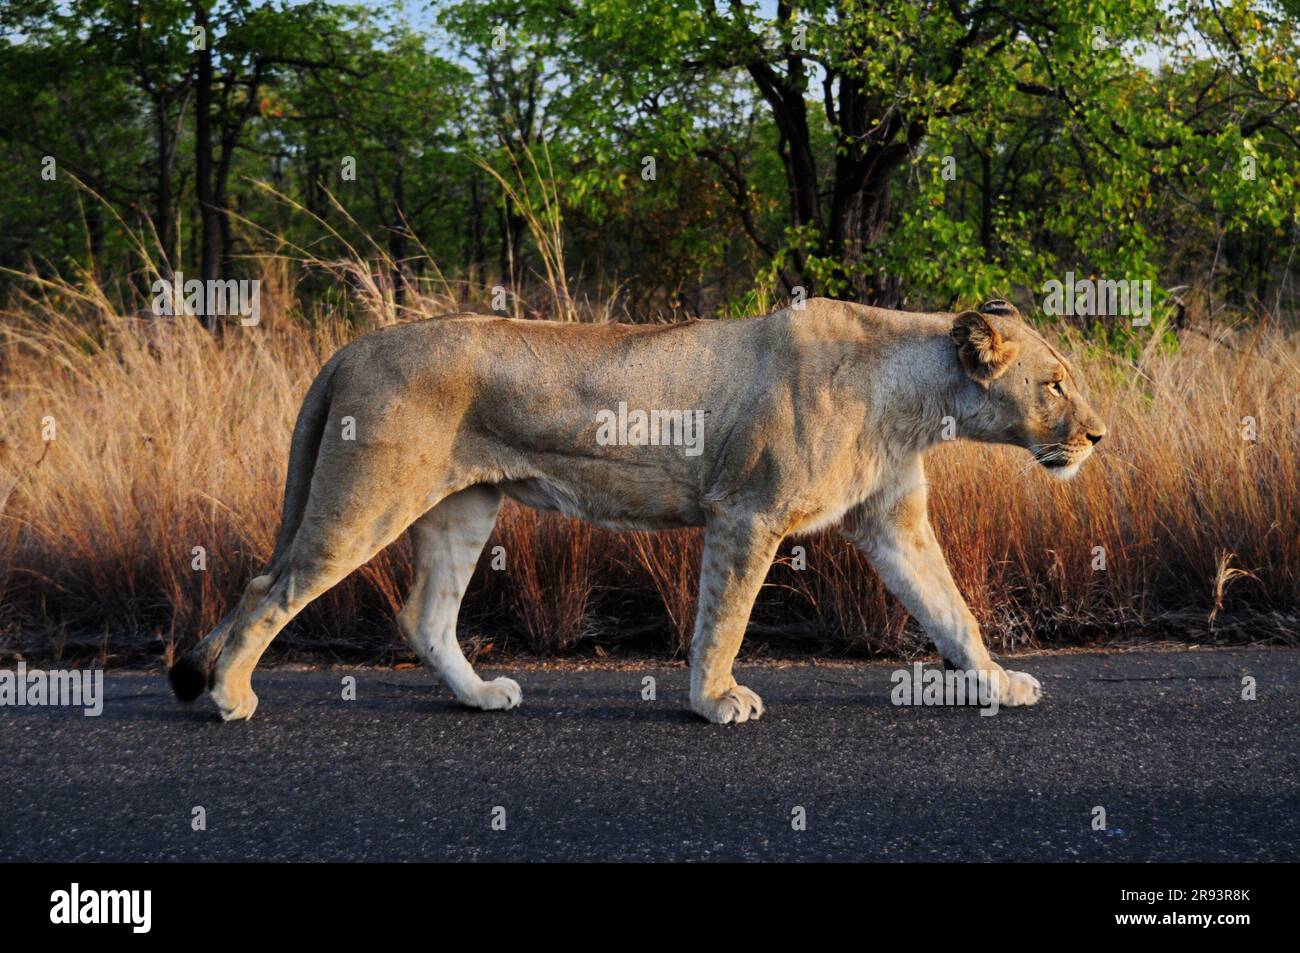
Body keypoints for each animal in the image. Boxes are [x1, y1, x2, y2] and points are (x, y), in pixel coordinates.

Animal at [169, 297, 1107, 724]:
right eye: (1054, 384)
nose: (1098, 435)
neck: (915, 399)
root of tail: (351, 347)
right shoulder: (747, 510)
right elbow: (723, 620)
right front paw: (716, 700)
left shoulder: (890, 520)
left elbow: (952, 611)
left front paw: (998, 682)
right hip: (368, 498)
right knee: (267, 588)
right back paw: (229, 697)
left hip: (465, 507)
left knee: (424, 616)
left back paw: (481, 695)